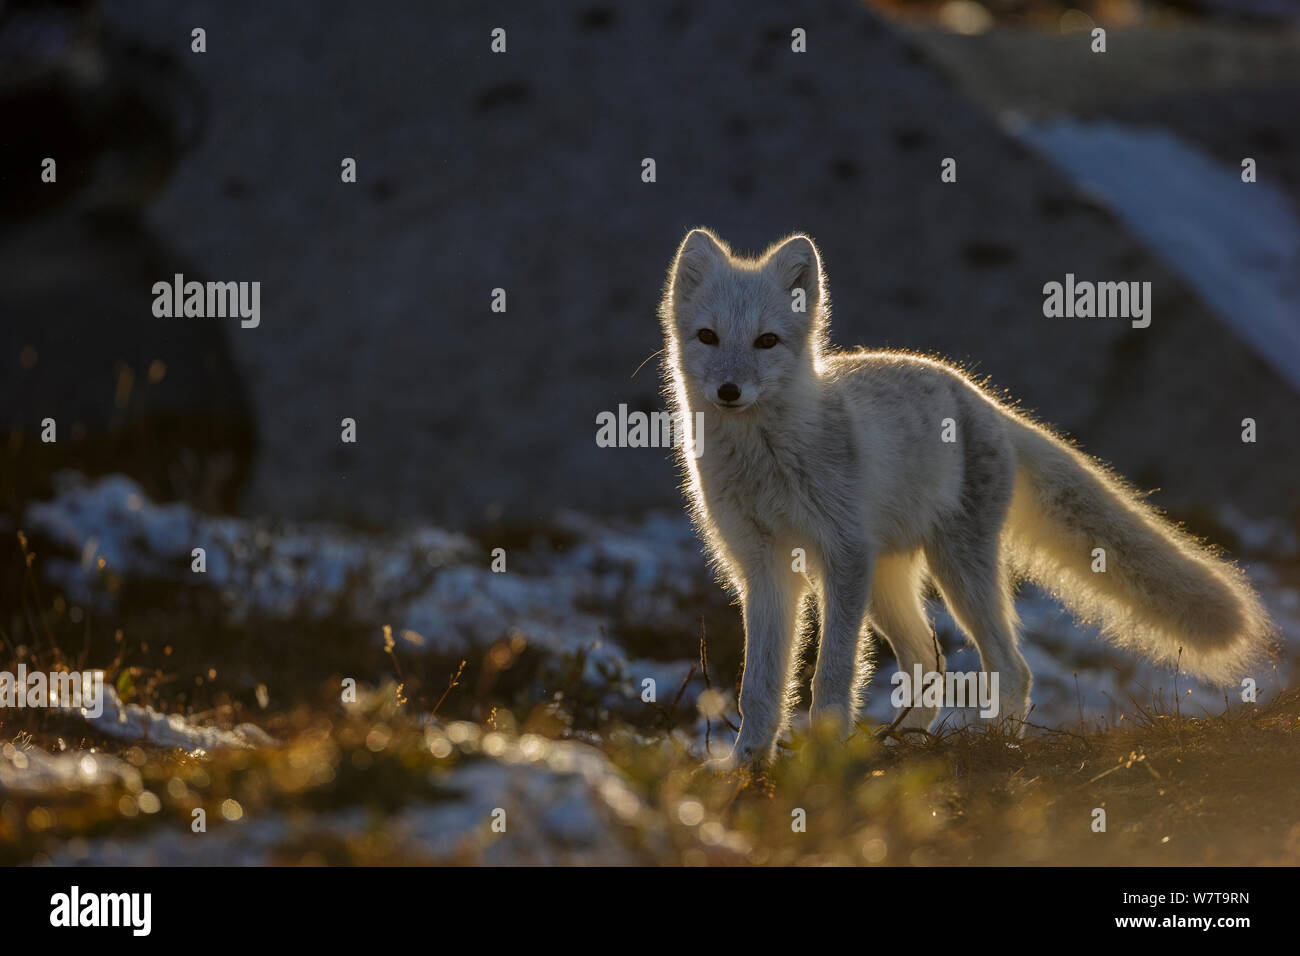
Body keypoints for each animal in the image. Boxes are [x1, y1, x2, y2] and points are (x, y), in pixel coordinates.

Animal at [659, 227, 1274, 769]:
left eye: (767, 341)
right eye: (708, 337)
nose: (729, 391)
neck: (765, 461)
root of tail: (984, 398)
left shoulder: (842, 556)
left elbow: (830, 675)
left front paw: (823, 757)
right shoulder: (763, 568)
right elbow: (760, 686)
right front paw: (746, 766)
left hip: (955, 571)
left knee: (1011, 667)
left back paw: (992, 741)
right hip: (889, 583)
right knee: (930, 665)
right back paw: (900, 744)